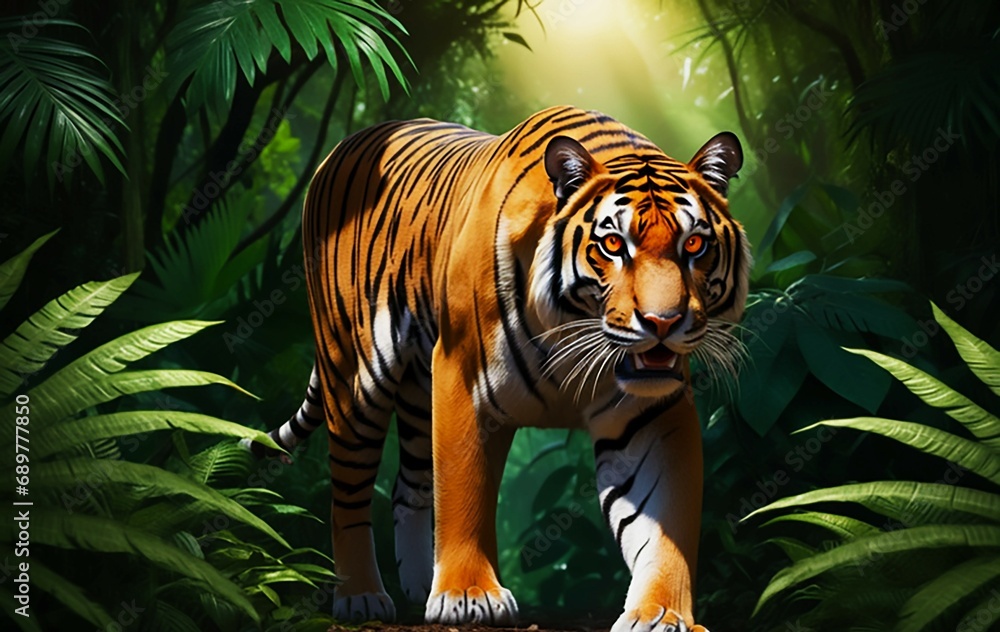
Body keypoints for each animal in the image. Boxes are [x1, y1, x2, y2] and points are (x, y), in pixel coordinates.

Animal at [245, 105, 749, 632]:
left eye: (694, 244)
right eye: (613, 244)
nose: (662, 323)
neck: (572, 332)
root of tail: (342, 147)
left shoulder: (653, 413)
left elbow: (664, 519)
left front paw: (664, 614)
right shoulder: (461, 374)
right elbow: (462, 487)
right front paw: (468, 596)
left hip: (417, 390)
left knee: (409, 485)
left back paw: (419, 588)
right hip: (354, 376)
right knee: (347, 491)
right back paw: (360, 595)